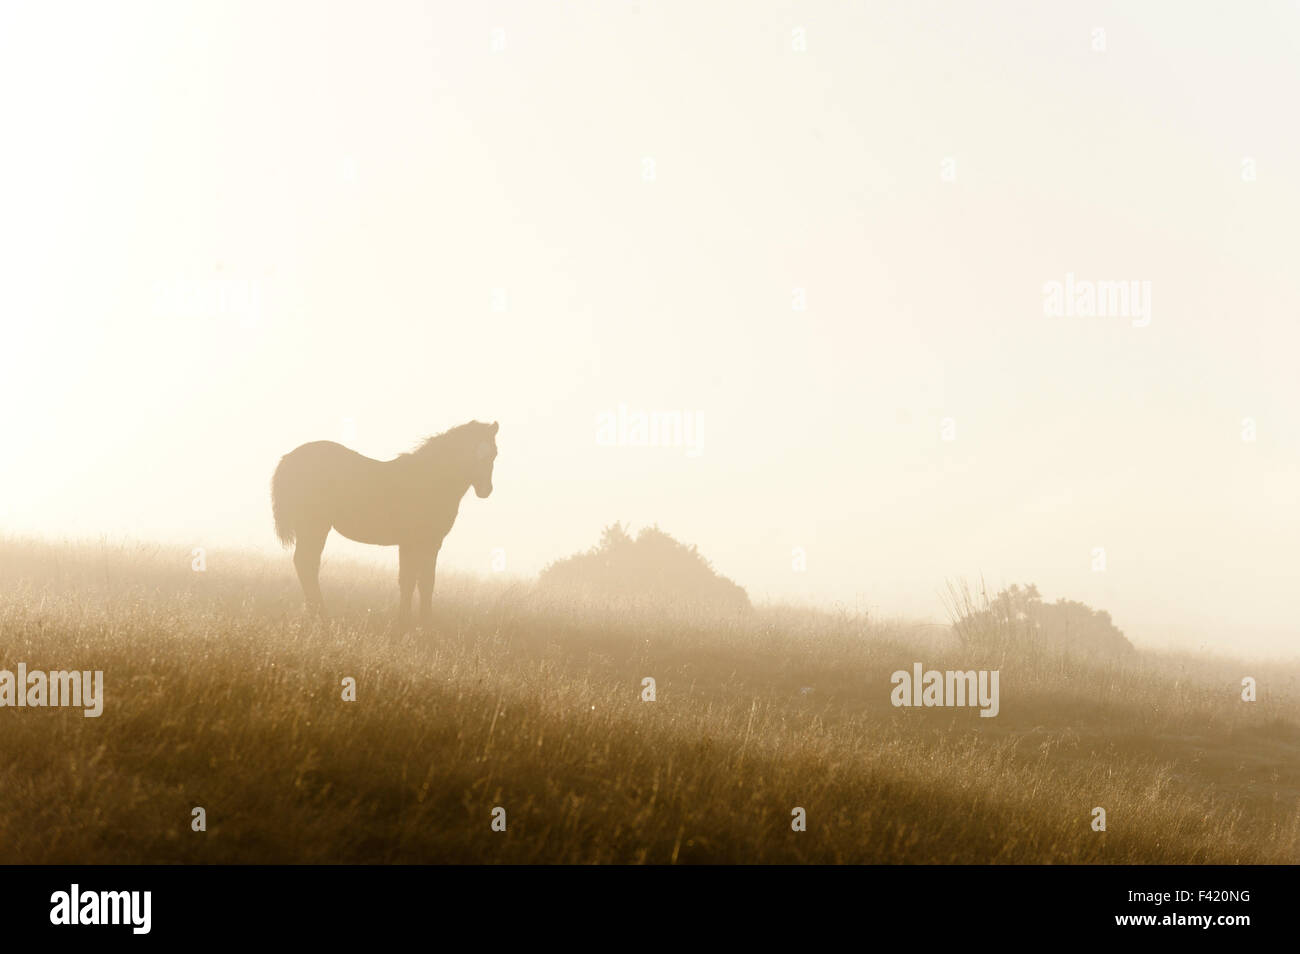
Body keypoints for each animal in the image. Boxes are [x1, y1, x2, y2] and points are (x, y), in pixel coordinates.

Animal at [270, 420, 498, 629]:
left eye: (494, 454)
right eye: (470, 452)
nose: (485, 490)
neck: (429, 481)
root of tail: (290, 457)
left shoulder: (422, 543)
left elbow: (418, 581)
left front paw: (414, 621)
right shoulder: (419, 542)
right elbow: (416, 581)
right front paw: (413, 622)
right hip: (314, 527)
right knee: (306, 564)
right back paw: (321, 616)